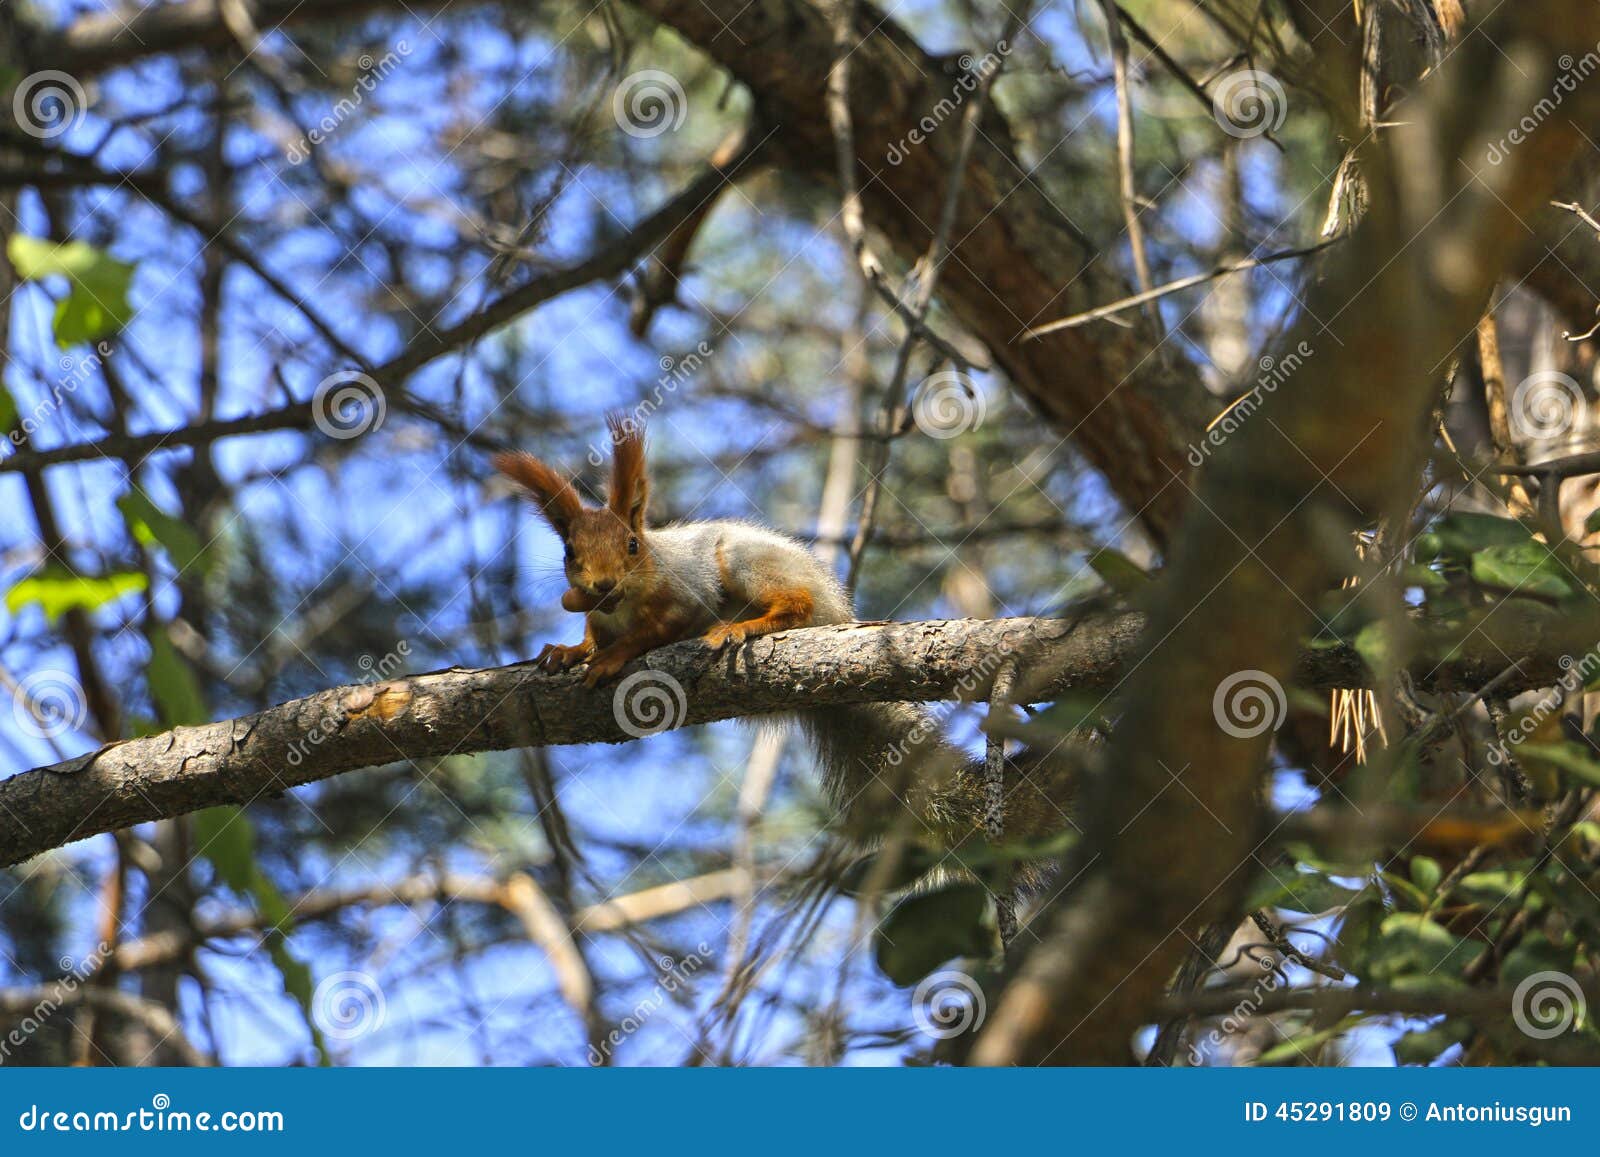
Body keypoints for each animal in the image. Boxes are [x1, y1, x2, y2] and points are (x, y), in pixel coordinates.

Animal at [492, 415, 1073, 848]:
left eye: (633, 546)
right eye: (569, 553)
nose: (603, 585)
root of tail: (838, 611)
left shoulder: (686, 596)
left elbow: (657, 630)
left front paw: (612, 658)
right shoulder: (599, 613)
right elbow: (591, 633)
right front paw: (568, 650)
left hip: (745, 564)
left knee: (796, 602)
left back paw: (745, 626)